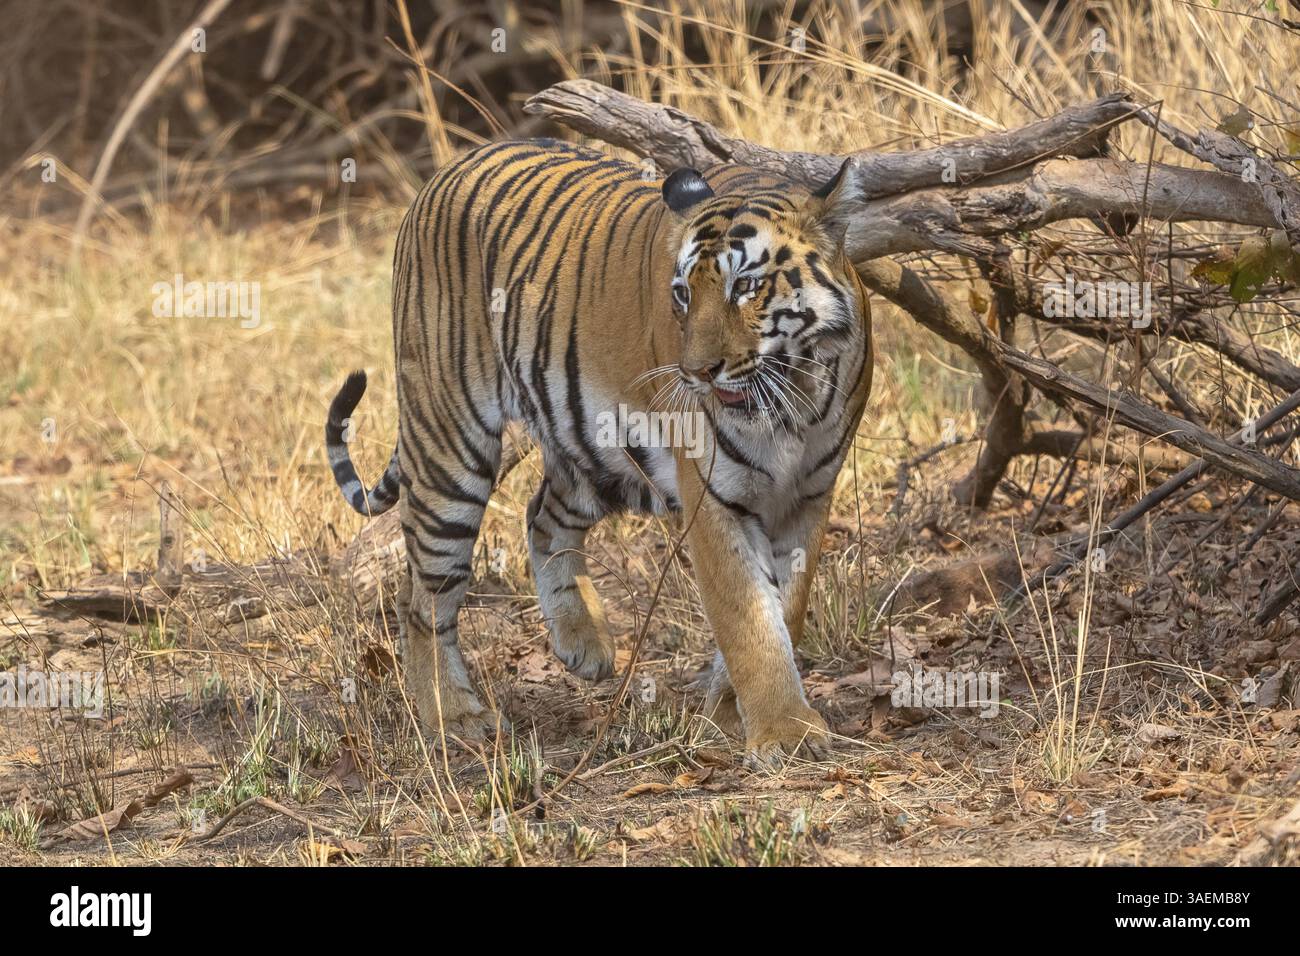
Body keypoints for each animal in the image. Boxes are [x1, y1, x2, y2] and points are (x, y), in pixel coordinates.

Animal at [325, 139, 872, 768]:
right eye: (683, 294)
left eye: (745, 288)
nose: (696, 373)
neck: (794, 396)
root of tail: (442, 173)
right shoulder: (713, 495)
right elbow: (748, 617)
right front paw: (783, 731)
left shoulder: (809, 494)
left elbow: (787, 604)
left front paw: (732, 711)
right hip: (450, 442)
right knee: (421, 594)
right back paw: (455, 718)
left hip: (597, 449)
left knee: (542, 516)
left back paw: (583, 643)